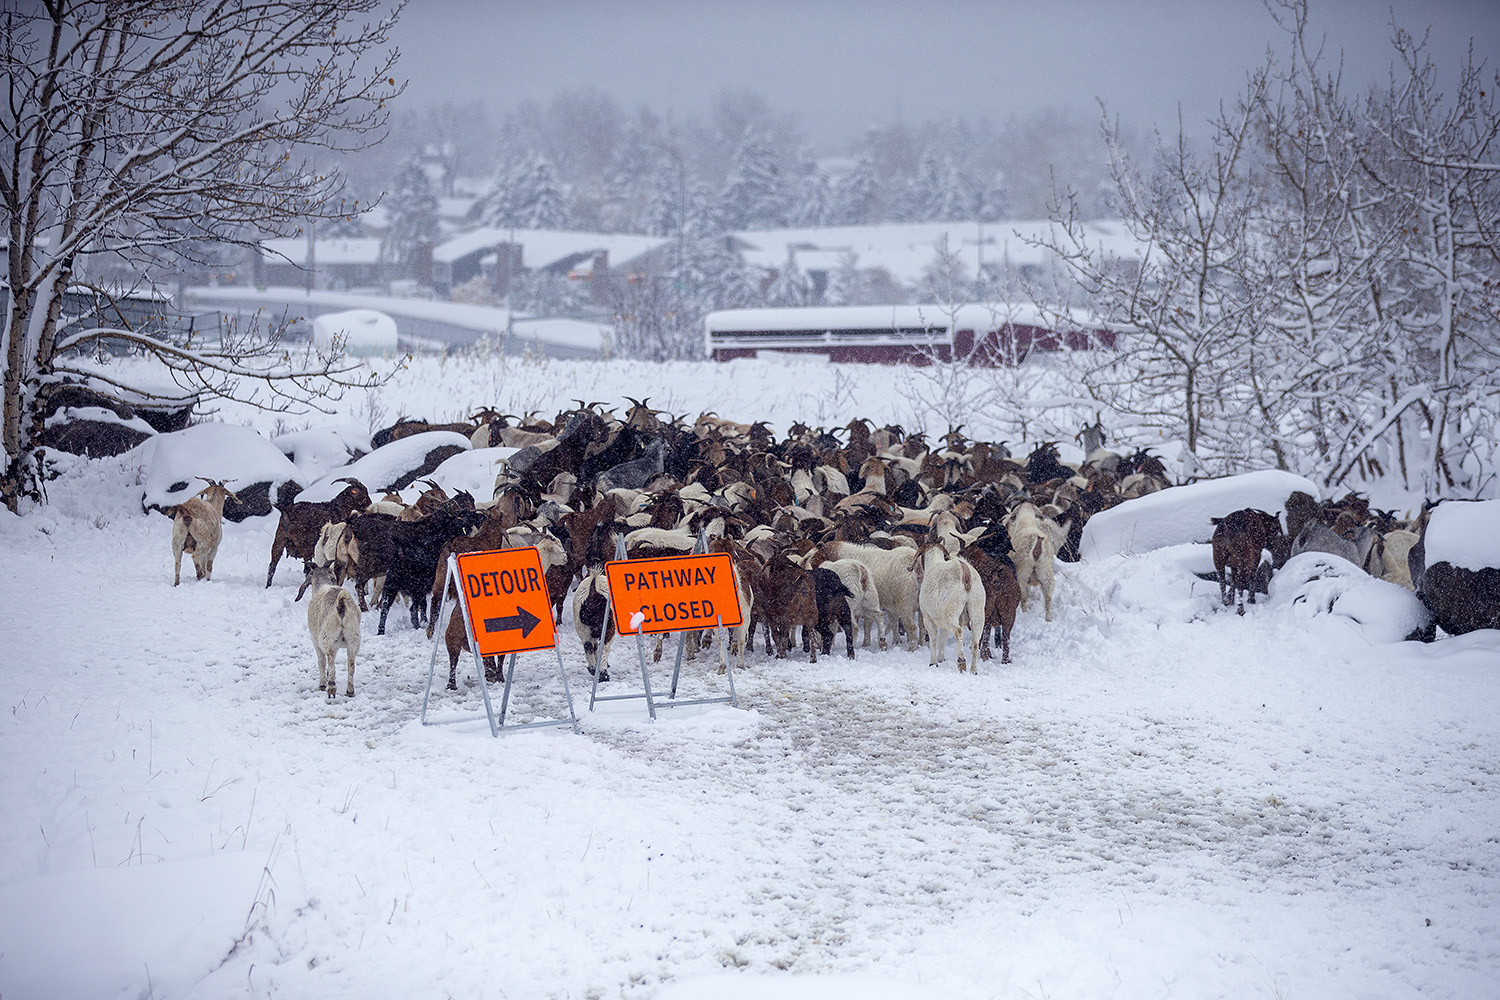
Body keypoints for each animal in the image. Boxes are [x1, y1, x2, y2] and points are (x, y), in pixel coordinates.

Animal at [302, 565, 360, 700]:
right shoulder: (337, 644)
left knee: (329, 658)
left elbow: (321, 662)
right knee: (351, 662)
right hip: (353, 637)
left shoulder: (315, 641)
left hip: (326, 636)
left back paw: (331, 688)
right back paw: (350, 691)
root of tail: (341, 602)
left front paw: (322, 684)